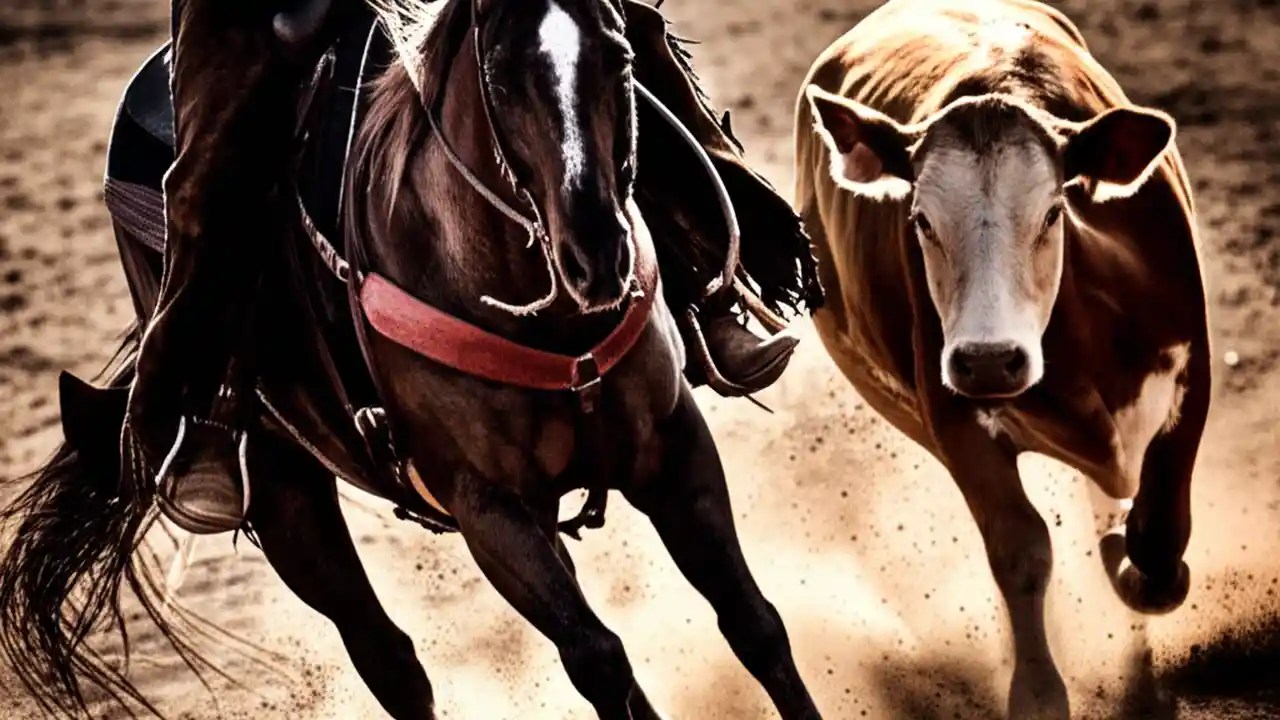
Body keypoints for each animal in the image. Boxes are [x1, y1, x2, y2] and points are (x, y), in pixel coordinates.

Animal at [792, 0, 1211, 717]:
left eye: (1052, 212)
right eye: (922, 221)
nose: (991, 361)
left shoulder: (1192, 373)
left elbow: (1157, 535)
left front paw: (1125, 556)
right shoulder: (955, 417)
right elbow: (1020, 549)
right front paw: (1037, 691)